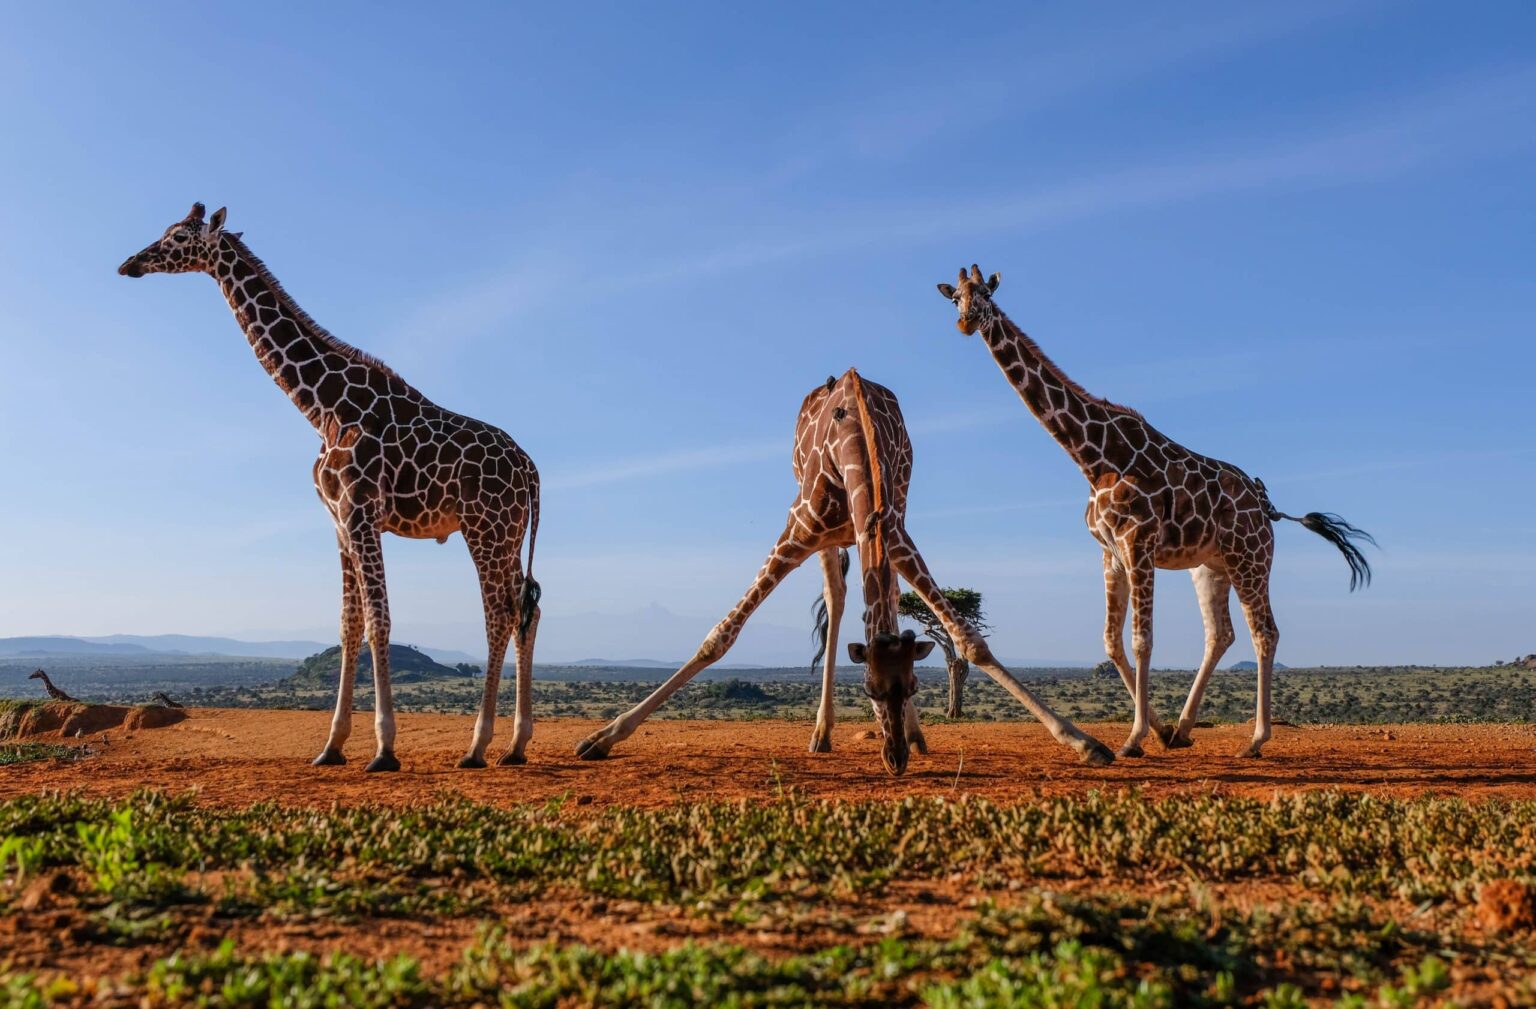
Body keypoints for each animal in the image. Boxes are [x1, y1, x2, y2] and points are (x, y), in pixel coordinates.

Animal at [118, 203, 541, 772]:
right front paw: (332, 745)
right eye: (165, 233)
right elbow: (348, 625)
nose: (130, 264)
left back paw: (477, 747)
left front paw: (384, 749)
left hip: (485, 528)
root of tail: (532, 470)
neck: (323, 407)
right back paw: (516, 745)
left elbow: (380, 620)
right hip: (509, 534)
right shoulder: (339, 521)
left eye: (178, 237)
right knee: (526, 610)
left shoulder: (362, 512)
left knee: (498, 614)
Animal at [574, 368, 1114, 773]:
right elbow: (720, 637)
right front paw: (604, 737)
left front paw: (1082, 741)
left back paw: (912, 736)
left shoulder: (895, 533)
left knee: (885, 597)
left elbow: (969, 640)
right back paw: (821, 734)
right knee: (836, 599)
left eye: (912, 686)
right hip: (826, 539)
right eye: (869, 688)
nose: (894, 761)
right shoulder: (797, 529)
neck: (852, 446)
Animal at [937, 266, 1374, 758]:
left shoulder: (1138, 545)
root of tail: (1265, 504)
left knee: (1265, 632)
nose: (966, 322)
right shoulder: (1110, 553)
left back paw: (1255, 740)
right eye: (955, 297)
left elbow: (1142, 640)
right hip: (1210, 567)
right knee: (1220, 633)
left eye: (986, 295)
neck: (1093, 458)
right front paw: (1157, 731)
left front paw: (1134, 737)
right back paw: (1183, 729)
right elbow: (1111, 642)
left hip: (1251, 559)